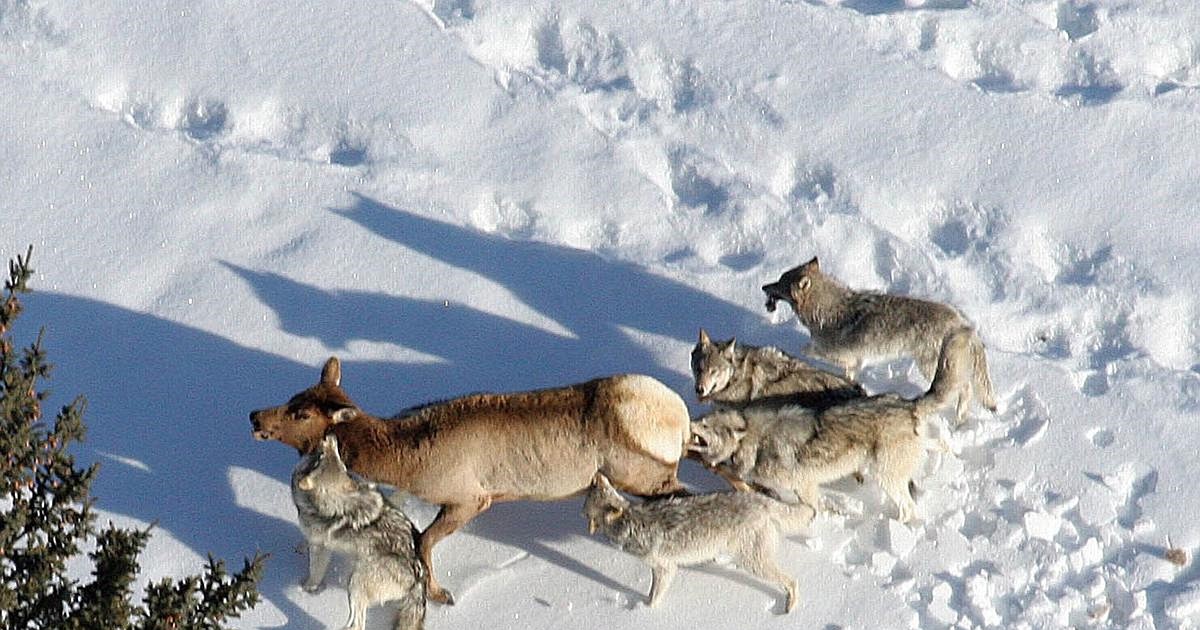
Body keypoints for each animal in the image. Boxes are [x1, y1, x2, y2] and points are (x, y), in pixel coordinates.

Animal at [292, 434, 426, 630]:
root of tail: (418, 580)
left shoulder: (320, 547)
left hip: (356, 583)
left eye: (337, 460)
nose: (331, 437)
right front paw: (299, 548)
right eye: (324, 456)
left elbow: (314, 574)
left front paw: (306, 591)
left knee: (357, 624)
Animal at [583, 473, 813, 613]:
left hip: (754, 564)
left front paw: (644, 611)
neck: (630, 522)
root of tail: (760, 501)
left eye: (600, 488)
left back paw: (789, 607)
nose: (597, 475)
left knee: (792, 581)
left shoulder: (666, 568)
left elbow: (653, 597)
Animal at [761, 256, 997, 424]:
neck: (827, 312)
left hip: (929, 366)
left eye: (779, 283)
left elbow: (807, 349)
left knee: (965, 388)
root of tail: (961, 321)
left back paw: (959, 420)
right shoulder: (854, 363)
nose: (763, 286)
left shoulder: (844, 356)